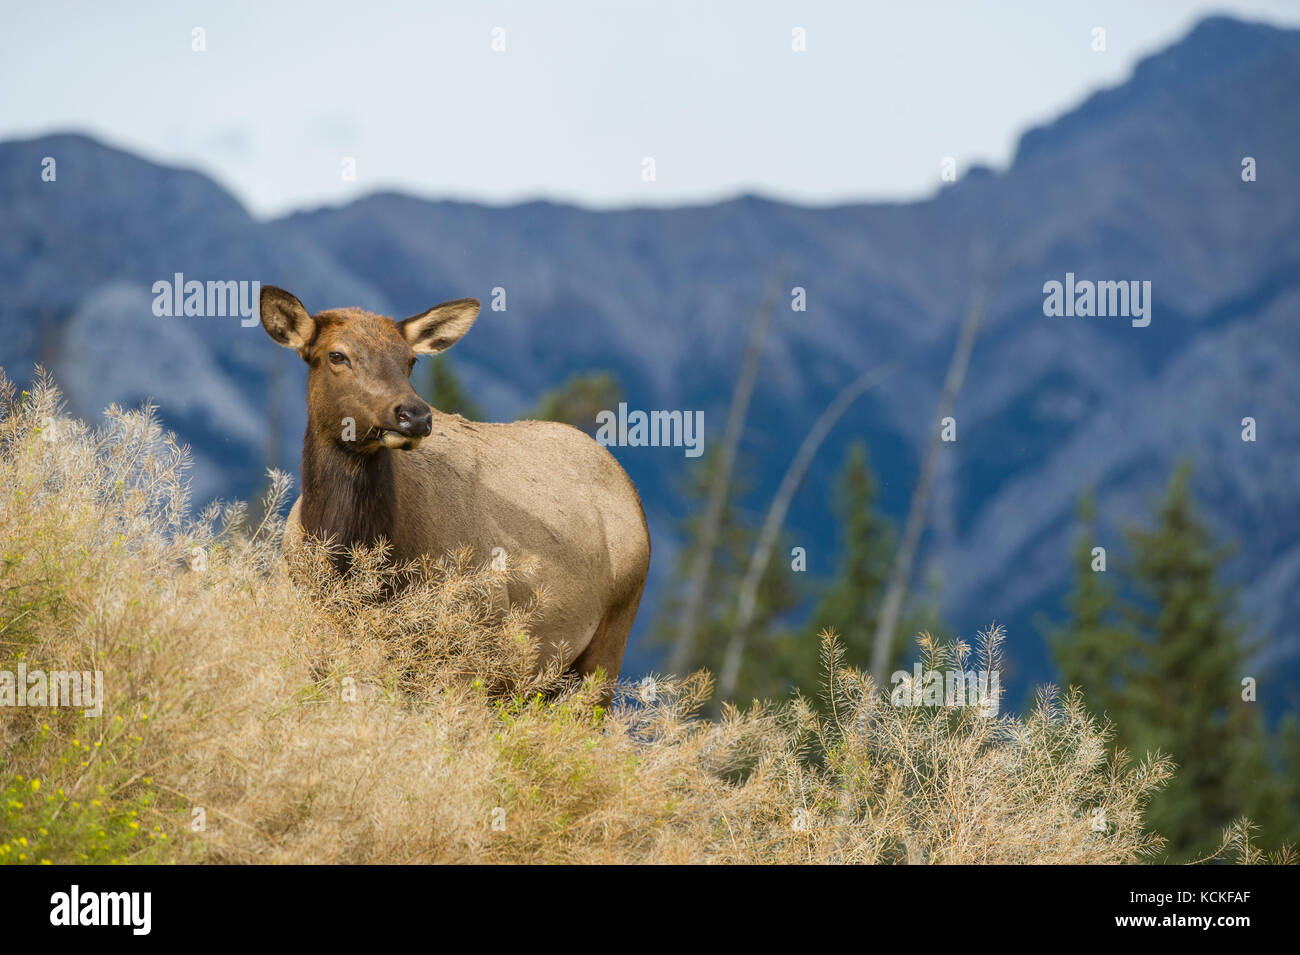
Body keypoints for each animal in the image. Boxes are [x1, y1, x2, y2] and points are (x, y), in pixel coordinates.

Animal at [259, 285, 650, 701]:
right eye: (337, 355)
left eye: (410, 360)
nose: (414, 415)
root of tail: (629, 486)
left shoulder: (468, 643)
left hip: (612, 632)